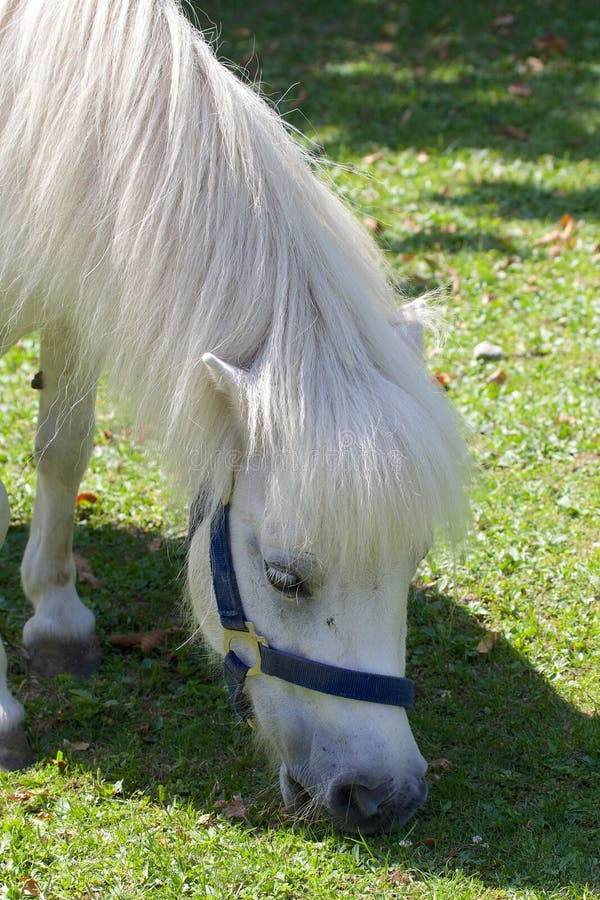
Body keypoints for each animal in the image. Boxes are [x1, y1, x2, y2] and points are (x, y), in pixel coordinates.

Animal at [0, 0, 468, 832]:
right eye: (283, 578)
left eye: (412, 561)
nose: (385, 797)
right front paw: (2, 717)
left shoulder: (75, 293)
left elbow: (63, 450)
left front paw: (57, 621)